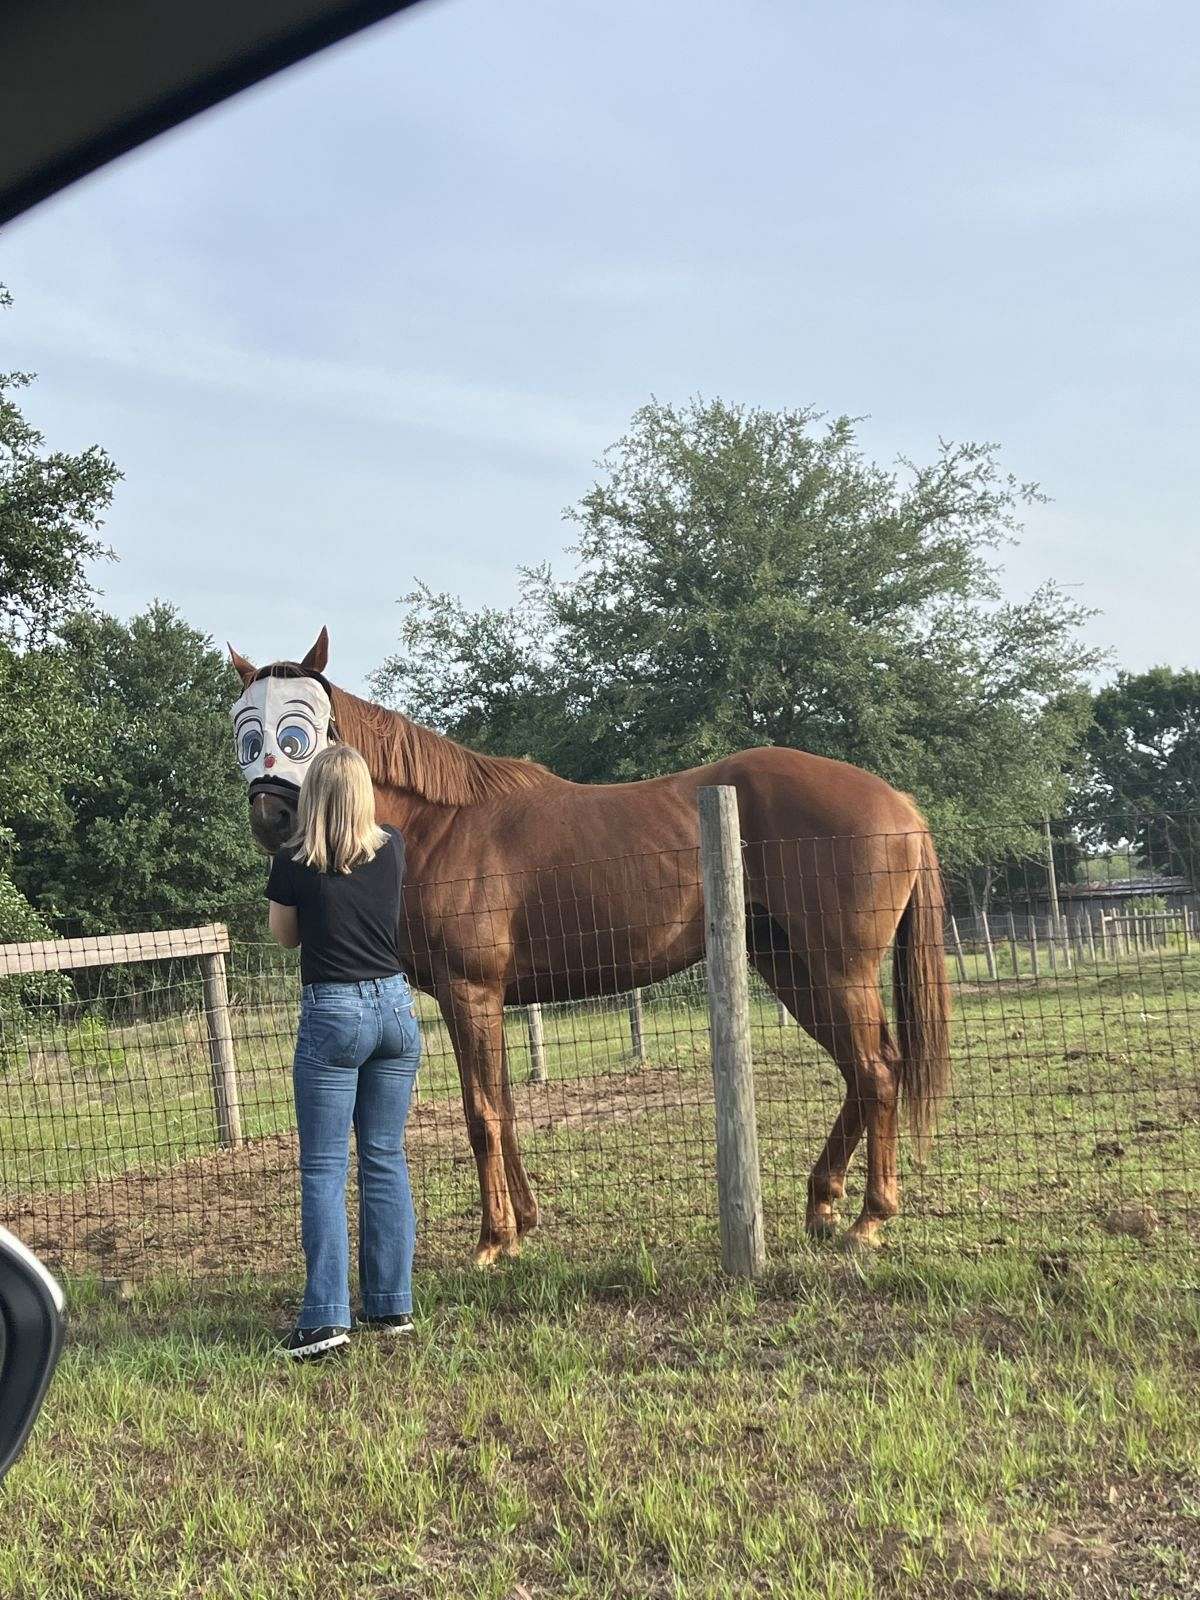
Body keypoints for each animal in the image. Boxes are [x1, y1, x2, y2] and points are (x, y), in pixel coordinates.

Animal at [228, 627, 950, 1263]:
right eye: (244, 733)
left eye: (299, 734)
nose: (272, 819)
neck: (442, 828)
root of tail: (899, 804)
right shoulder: (492, 1003)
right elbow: (506, 1106)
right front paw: (523, 1225)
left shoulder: (470, 995)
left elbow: (481, 1113)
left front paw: (492, 1241)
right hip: (788, 965)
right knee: (862, 1070)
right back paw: (824, 1203)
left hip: (839, 970)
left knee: (878, 1071)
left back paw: (869, 1219)